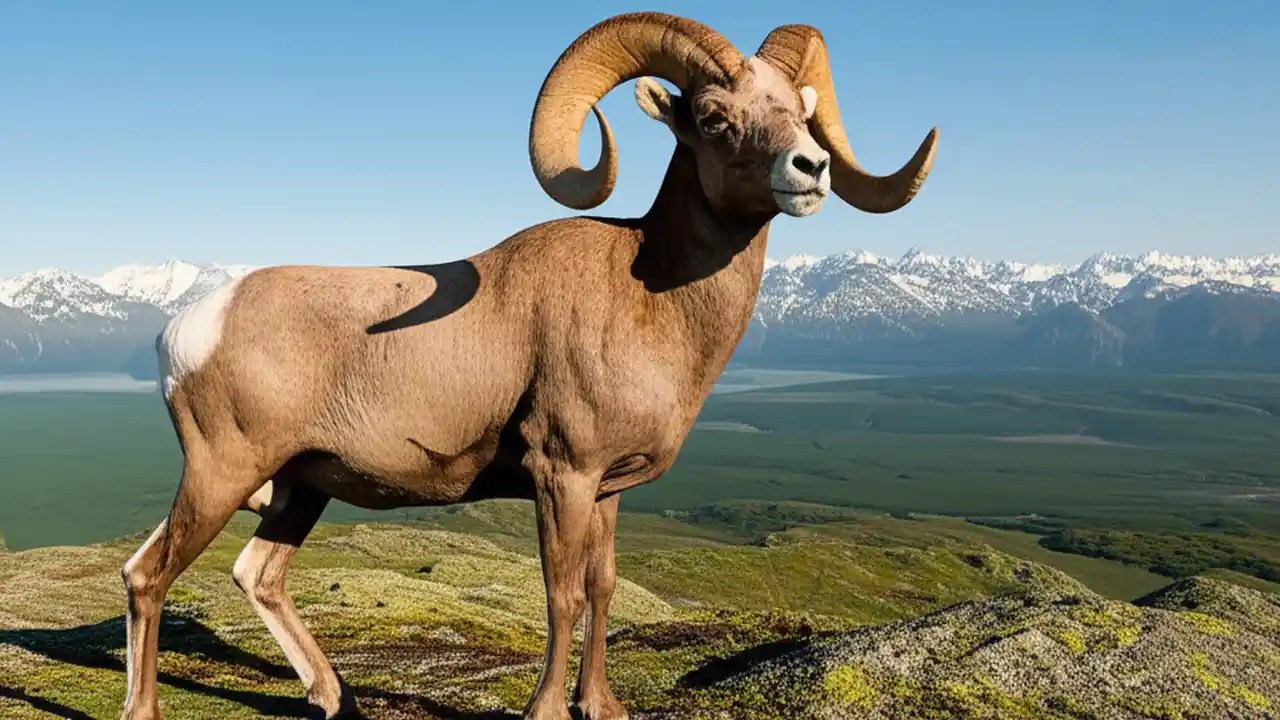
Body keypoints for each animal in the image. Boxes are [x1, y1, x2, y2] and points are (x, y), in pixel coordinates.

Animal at [118, 11, 937, 720]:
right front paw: (547, 710)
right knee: (148, 578)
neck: (648, 297)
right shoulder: (560, 476)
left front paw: (600, 706)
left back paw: (336, 698)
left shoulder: (607, 489)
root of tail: (188, 328)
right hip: (223, 475)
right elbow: (562, 595)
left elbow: (602, 589)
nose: (811, 168)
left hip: (296, 490)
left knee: (252, 575)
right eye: (713, 116)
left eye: (799, 110)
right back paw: (150, 708)